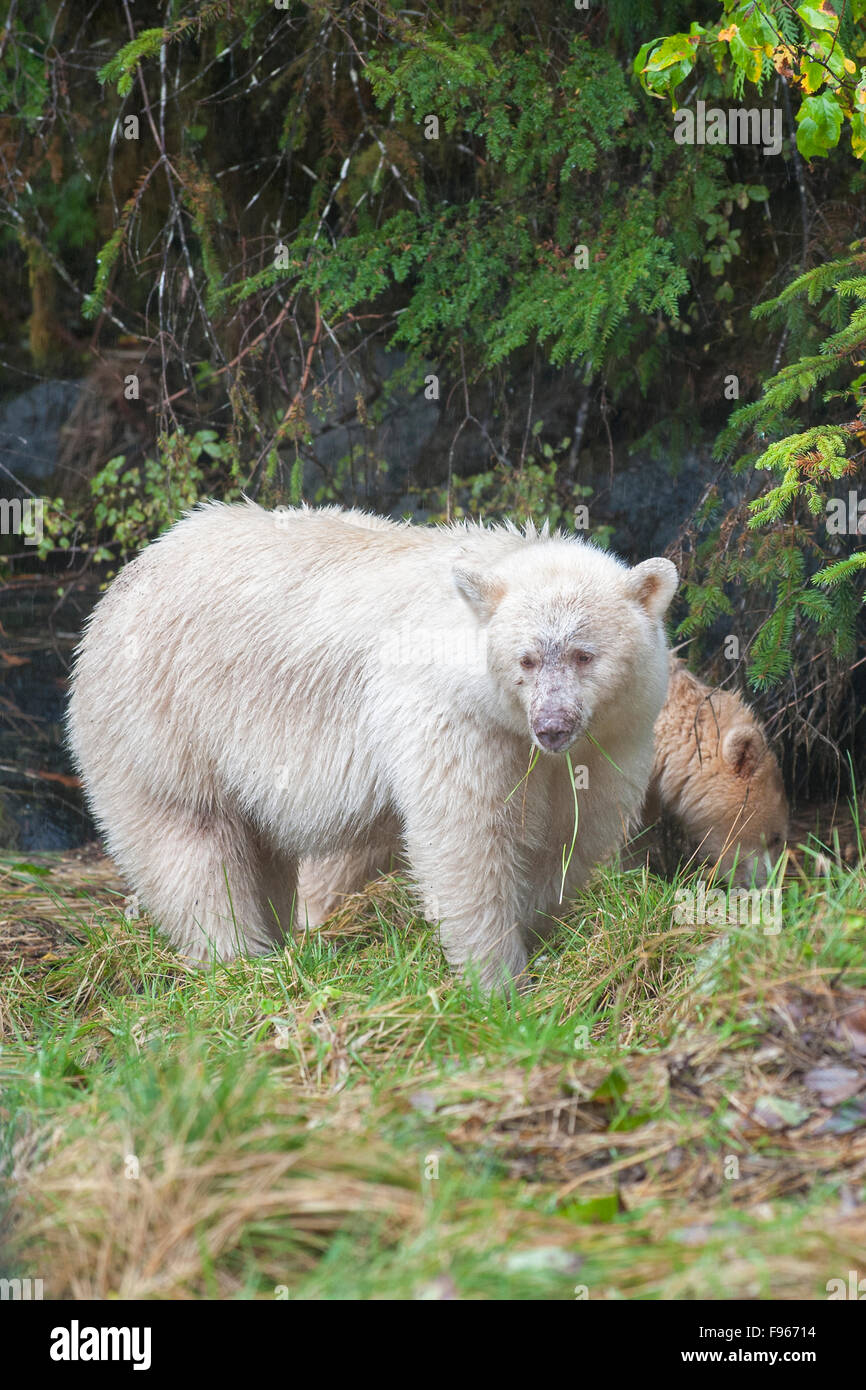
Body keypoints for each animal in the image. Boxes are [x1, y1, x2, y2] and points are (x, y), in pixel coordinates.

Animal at [67, 501, 678, 987]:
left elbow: (568, 836)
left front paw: (537, 934)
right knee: (189, 840)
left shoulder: (605, 742)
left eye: (583, 654)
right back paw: (239, 960)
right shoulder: (453, 719)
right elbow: (466, 838)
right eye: (526, 659)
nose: (551, 725)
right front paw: (497, 984)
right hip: (164, 716)